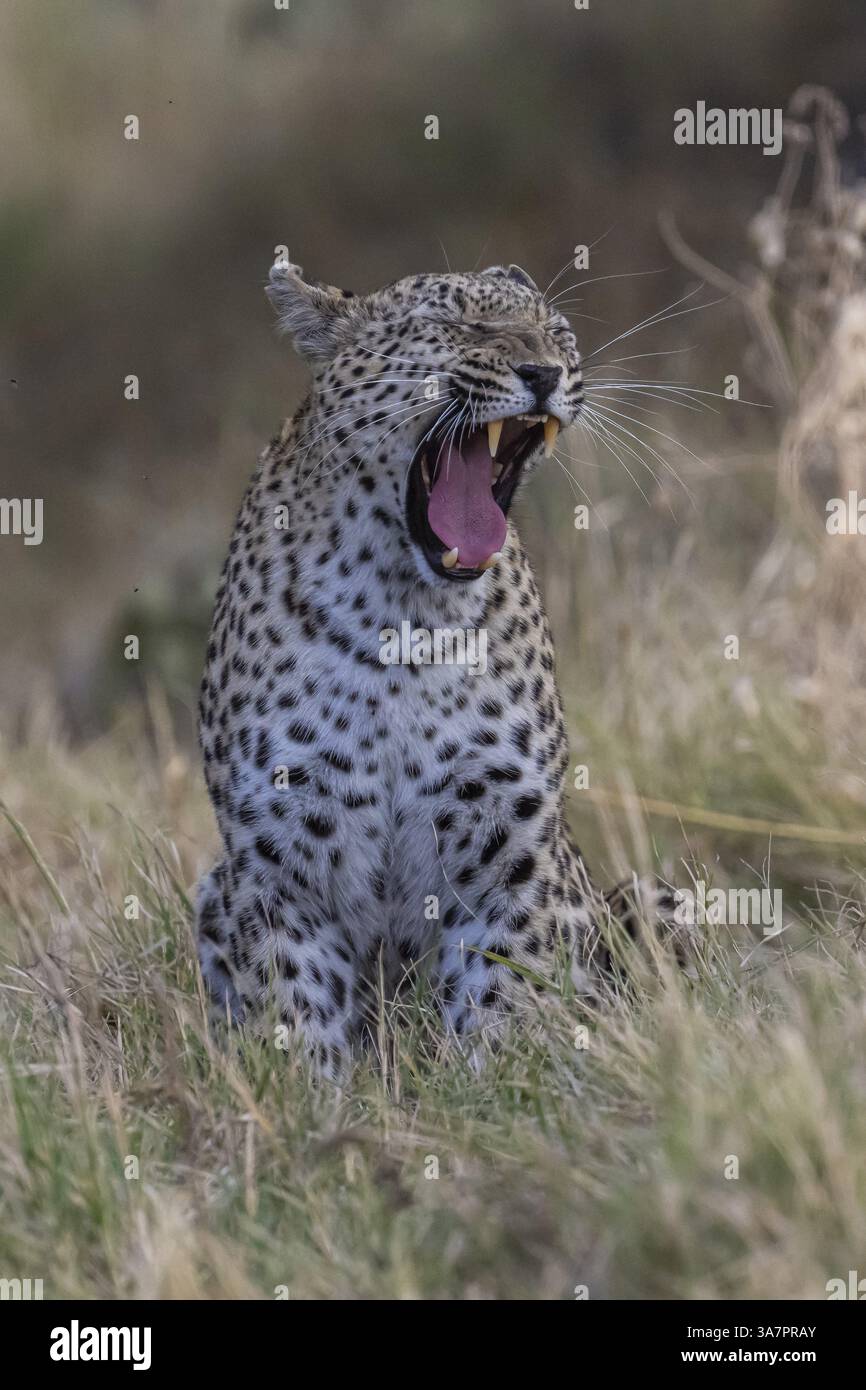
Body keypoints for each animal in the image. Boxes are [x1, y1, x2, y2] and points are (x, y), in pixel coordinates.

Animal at [196, 258, 678, 1076]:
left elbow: (503, 1001)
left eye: (555, 329)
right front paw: (312, 1098)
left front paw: (503, 1086)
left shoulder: (508, 856)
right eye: (458, 326)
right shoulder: (277, 868)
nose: (545, 372)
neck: (404, 619)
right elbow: (300, 1017)